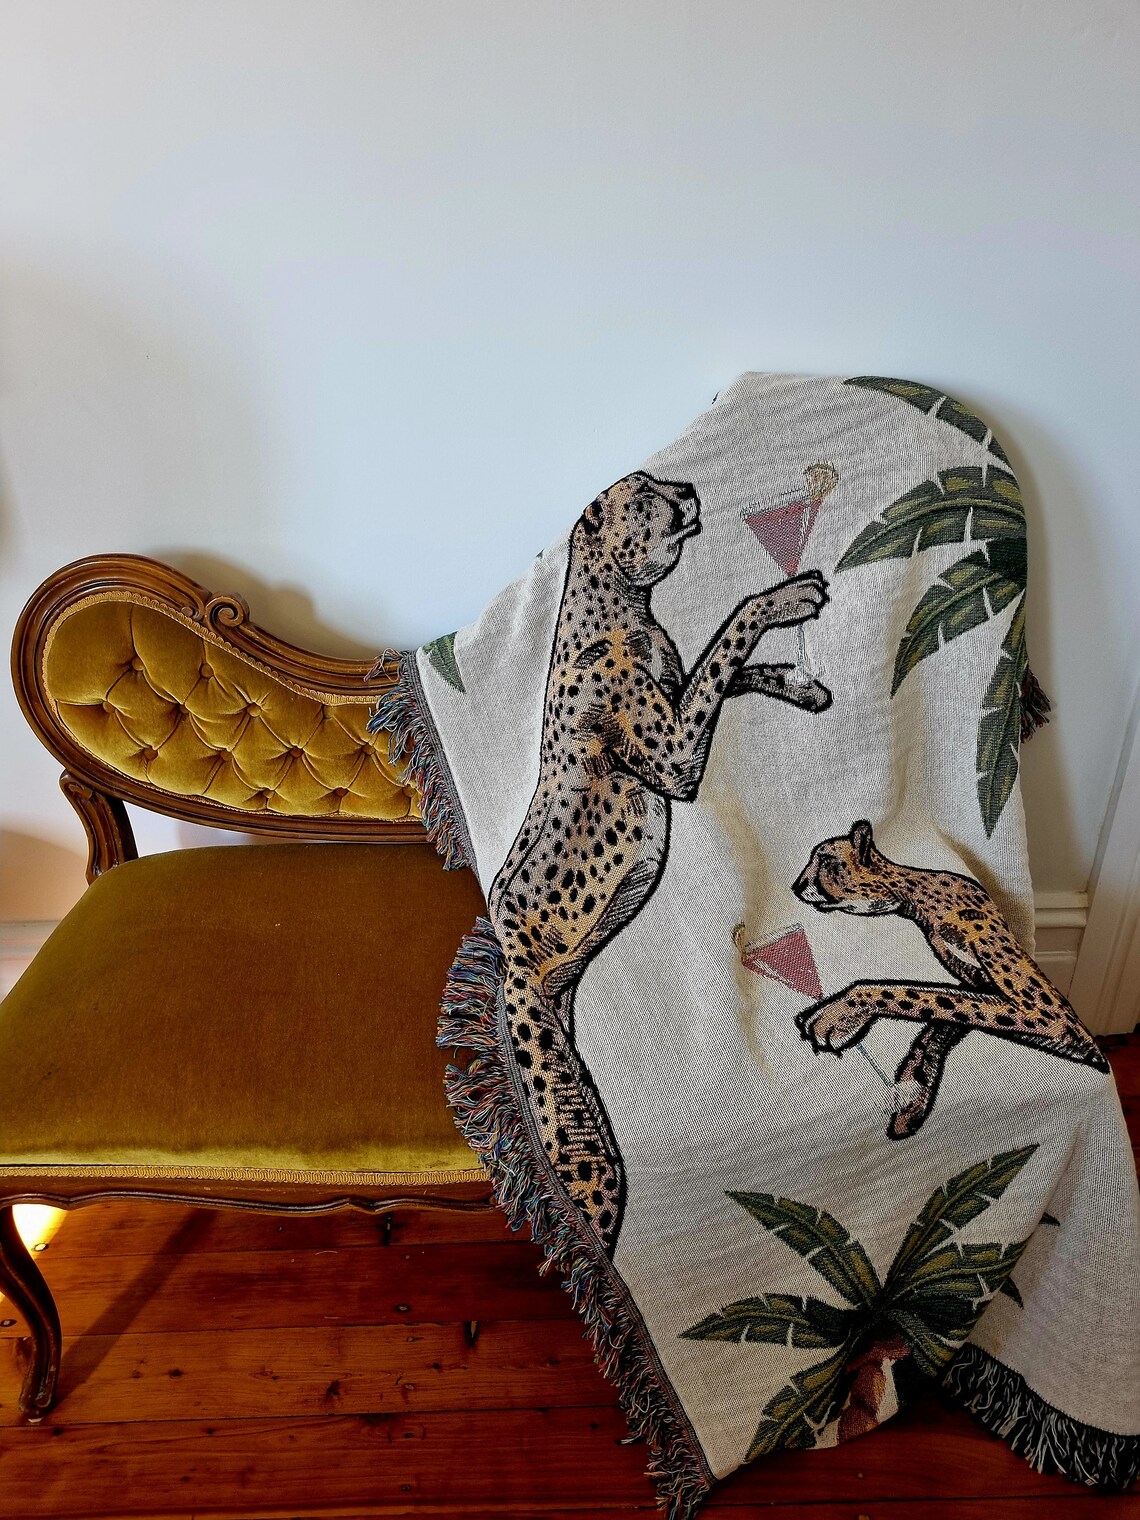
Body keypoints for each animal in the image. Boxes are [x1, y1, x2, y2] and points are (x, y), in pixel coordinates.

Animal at [489, 470, 833, 1255]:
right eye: (643, 493)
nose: (687, 489)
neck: (620, 601)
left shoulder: (681, 708)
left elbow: (727, 669)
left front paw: (799, 683)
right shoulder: (674, 757)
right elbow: (728, 639)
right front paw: (788, 596)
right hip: (586, 1143)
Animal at [791, 819, 1108, 1140]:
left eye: (825, 860)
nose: (796, 886)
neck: (914, 896)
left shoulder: (1049, 1013)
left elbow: (922, 998)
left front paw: (836, 1016)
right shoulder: (980, 987)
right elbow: (942, 1014)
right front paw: (914, 1090)